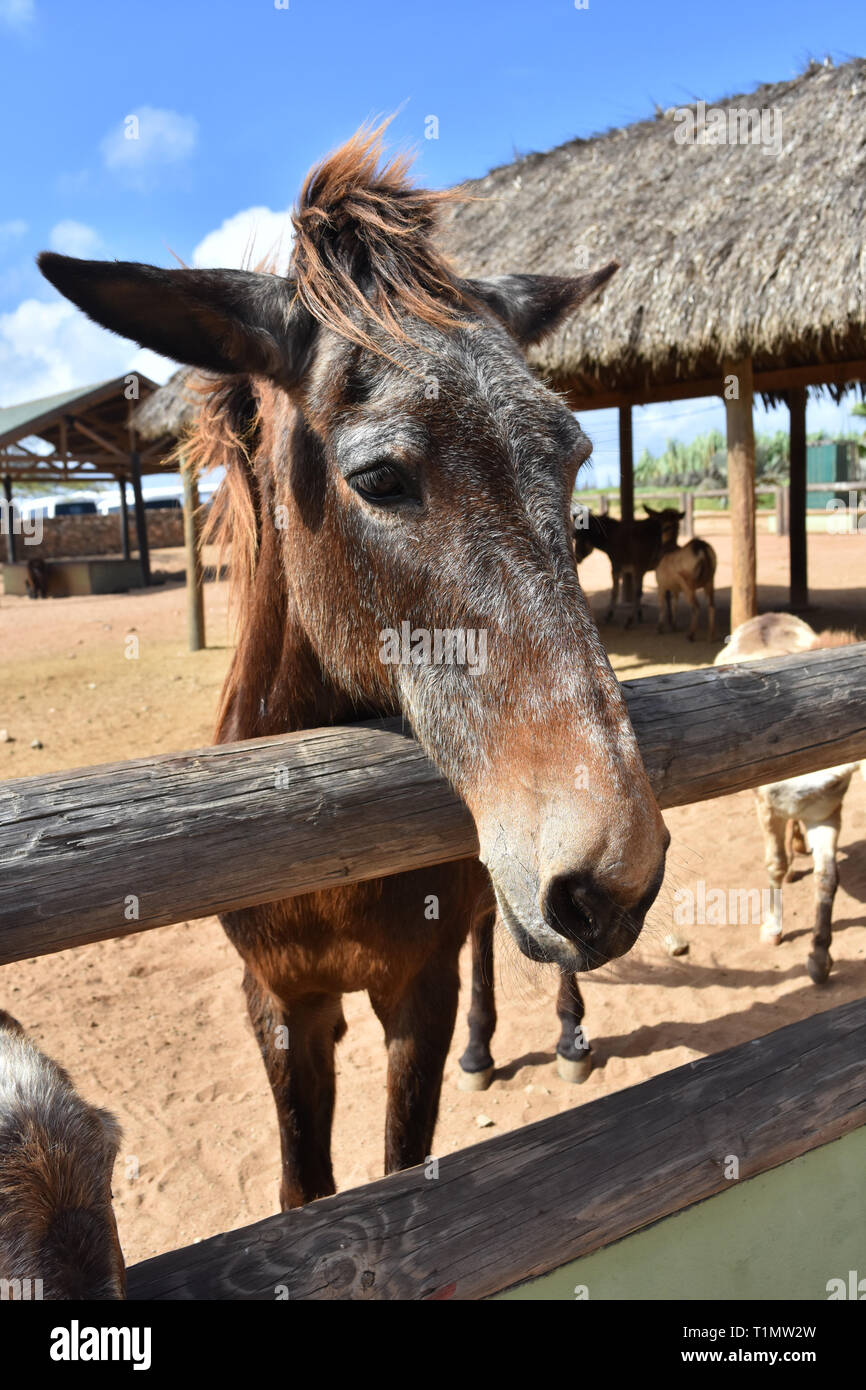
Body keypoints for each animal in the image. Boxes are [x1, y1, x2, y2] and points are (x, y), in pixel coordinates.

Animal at [38, 123, 669, 1208]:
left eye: (574, 456)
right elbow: (307, 1188)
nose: (611, 876)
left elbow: (399, 1165)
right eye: (377, 477)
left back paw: (564, 1032)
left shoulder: (414, 992)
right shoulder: (282, 1005)